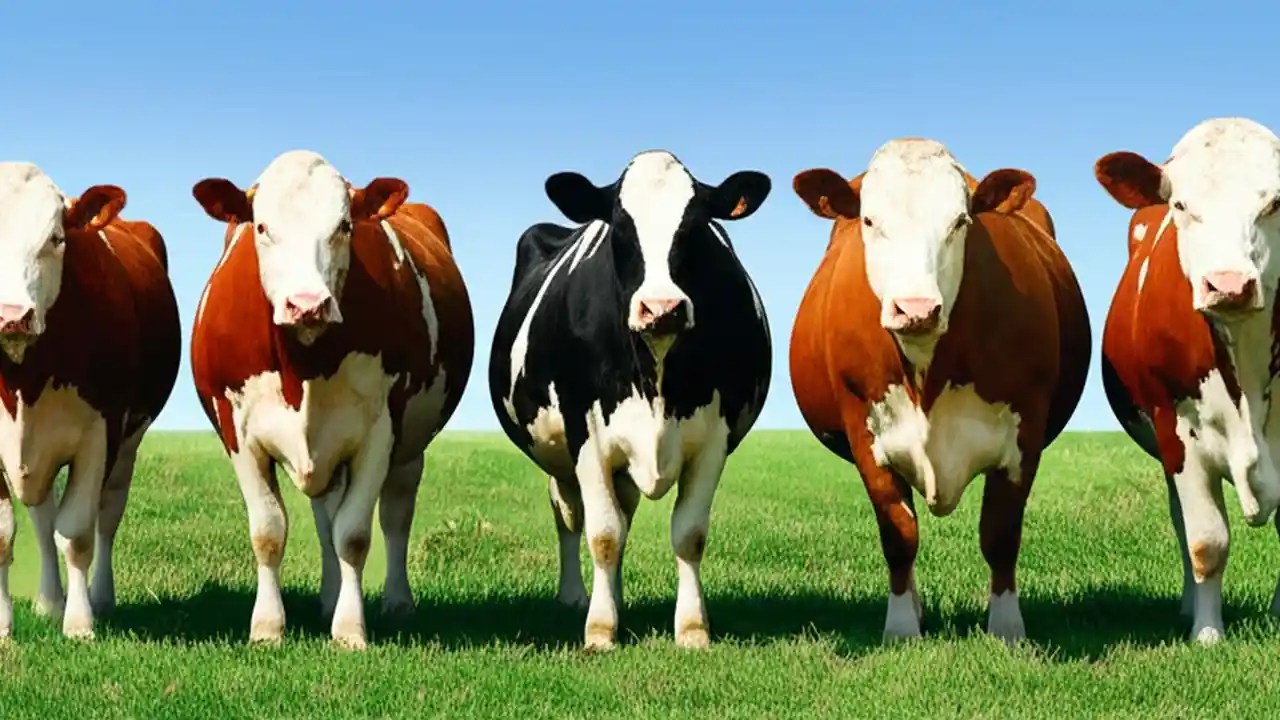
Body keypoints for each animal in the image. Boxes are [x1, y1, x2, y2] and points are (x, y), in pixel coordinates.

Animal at [0, 162, 181, 640]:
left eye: (56, 238)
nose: (11, 316)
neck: (21, 379)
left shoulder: (99, 436)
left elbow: (77, 533)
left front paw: (80, 623)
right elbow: (6, 532)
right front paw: (4, 625)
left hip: (127, 444)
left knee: (106, 515)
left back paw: (100, 598)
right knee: (42, 520)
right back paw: (48, 601)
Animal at [190, 150, 474, 649]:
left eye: (344, 226)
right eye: (261, 226)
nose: (307, 304)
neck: (302, 365)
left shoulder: (380, 434)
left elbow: (354, 535)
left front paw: (349, 629)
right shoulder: (237, 431)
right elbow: (269, 531)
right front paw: (267, 627)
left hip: (408, 448)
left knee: (395, 515)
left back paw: (396, 602)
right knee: (324, 518)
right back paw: (327, 597)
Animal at [488, 150, 772, 650]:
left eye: (695, 225)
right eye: (620, 227)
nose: (662, 308)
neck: (656, 376)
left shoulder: (714, 439)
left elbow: (688, 534)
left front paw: (692, 629)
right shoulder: (585, 432)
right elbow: (603, 534)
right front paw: (600, 630)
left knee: (624, 512)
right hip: (561, 456)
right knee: (570, 515)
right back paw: (576, 597)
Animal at [790, 138, 1091, 643]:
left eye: (960, 222)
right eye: (869, 221)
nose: (915, 308)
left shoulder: (1025, 432)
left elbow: (1000, 535)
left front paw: (1007, 627)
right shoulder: (865, 433)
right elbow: (899, 535)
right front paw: (901, 627)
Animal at [1094, 117, 1280, 644]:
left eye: (1275, 203)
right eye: (1181, 205)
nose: (1229, 284)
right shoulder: (1178, 432)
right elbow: (1206, 541)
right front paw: (1207, 633)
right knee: (1182, 525)